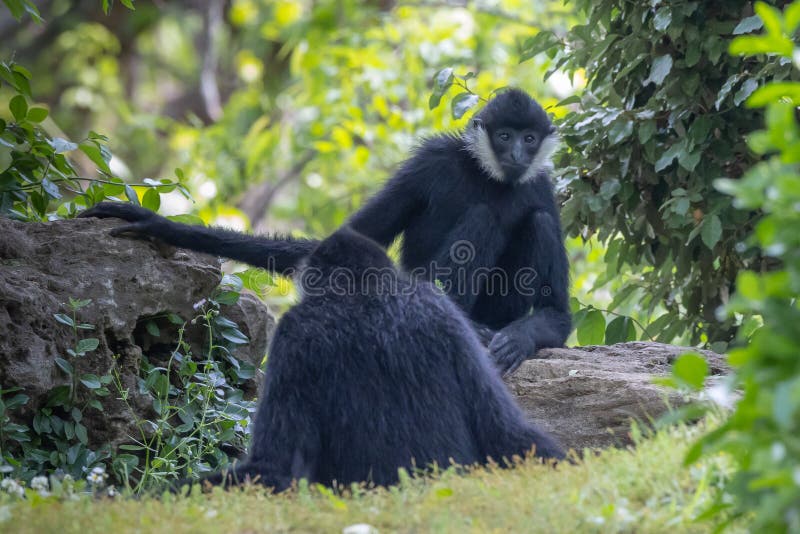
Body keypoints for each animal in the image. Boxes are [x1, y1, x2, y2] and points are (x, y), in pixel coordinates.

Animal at [81, 88, 570, 376]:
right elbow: (338, 243)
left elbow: (558, 317)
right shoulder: (428, 161)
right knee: (484, 216)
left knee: (539, 222)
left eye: (529, 139)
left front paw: (520, 338)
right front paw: (156, 224)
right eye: (505, 135)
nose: (517, 153)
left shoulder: (543, 186)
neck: (491, 176)